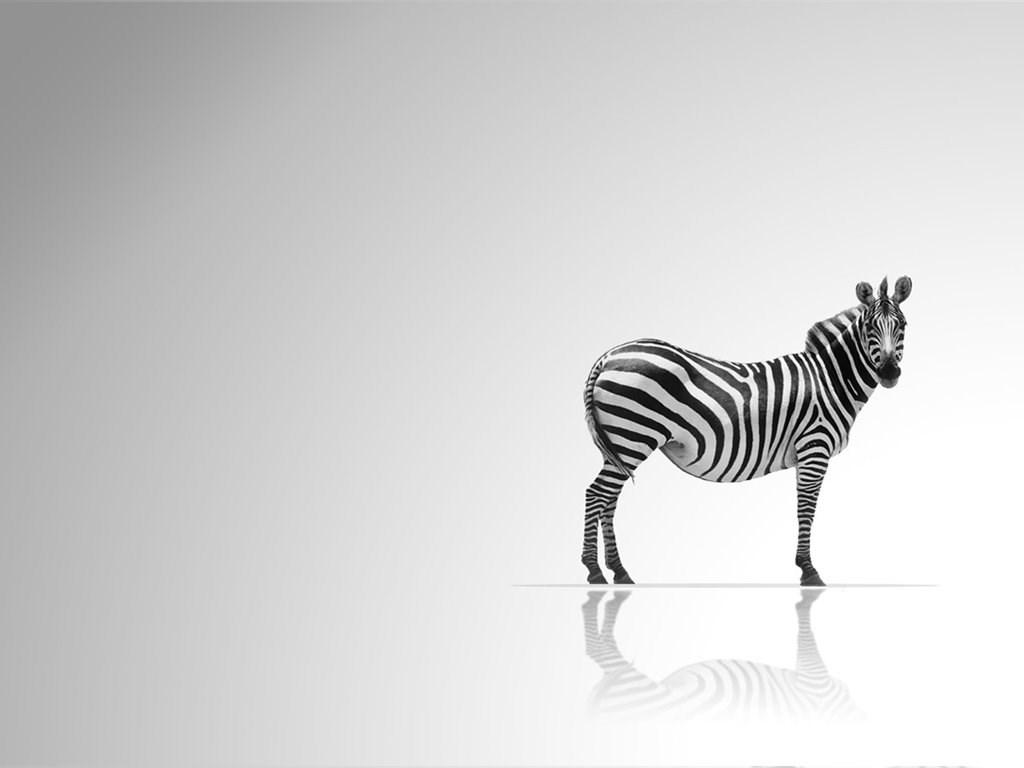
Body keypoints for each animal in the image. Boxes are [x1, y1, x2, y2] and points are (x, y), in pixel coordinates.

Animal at [583, 276, 912, 585]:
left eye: (903, 326)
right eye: (869, 327)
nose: (889, 373)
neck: (830, 379)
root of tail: (608, 356)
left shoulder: (806, 453)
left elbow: (803, 506)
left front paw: (804, 565)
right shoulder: (814, 446)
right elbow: (807, 507)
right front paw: (808, 570)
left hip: (619, 444)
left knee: (609, 499)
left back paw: (619, 571)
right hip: (632, 436)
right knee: (596, 493)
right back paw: (594, 571)